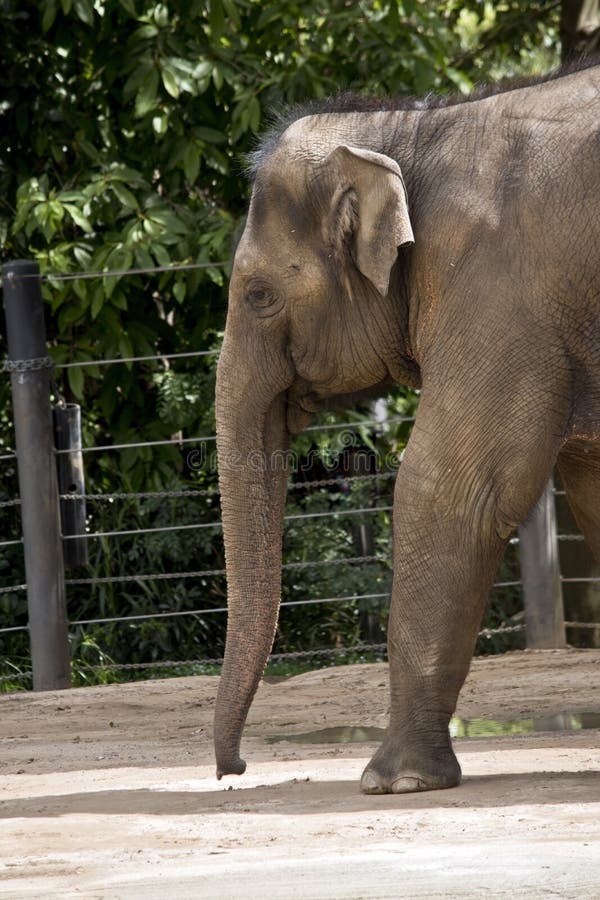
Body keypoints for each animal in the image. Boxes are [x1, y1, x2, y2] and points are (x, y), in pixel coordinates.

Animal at [213, 60, 600, 794]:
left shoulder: (499, 295)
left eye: (258, 295)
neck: (409, 129)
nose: (234, 768)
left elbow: (445, 491)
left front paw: (391, 783)